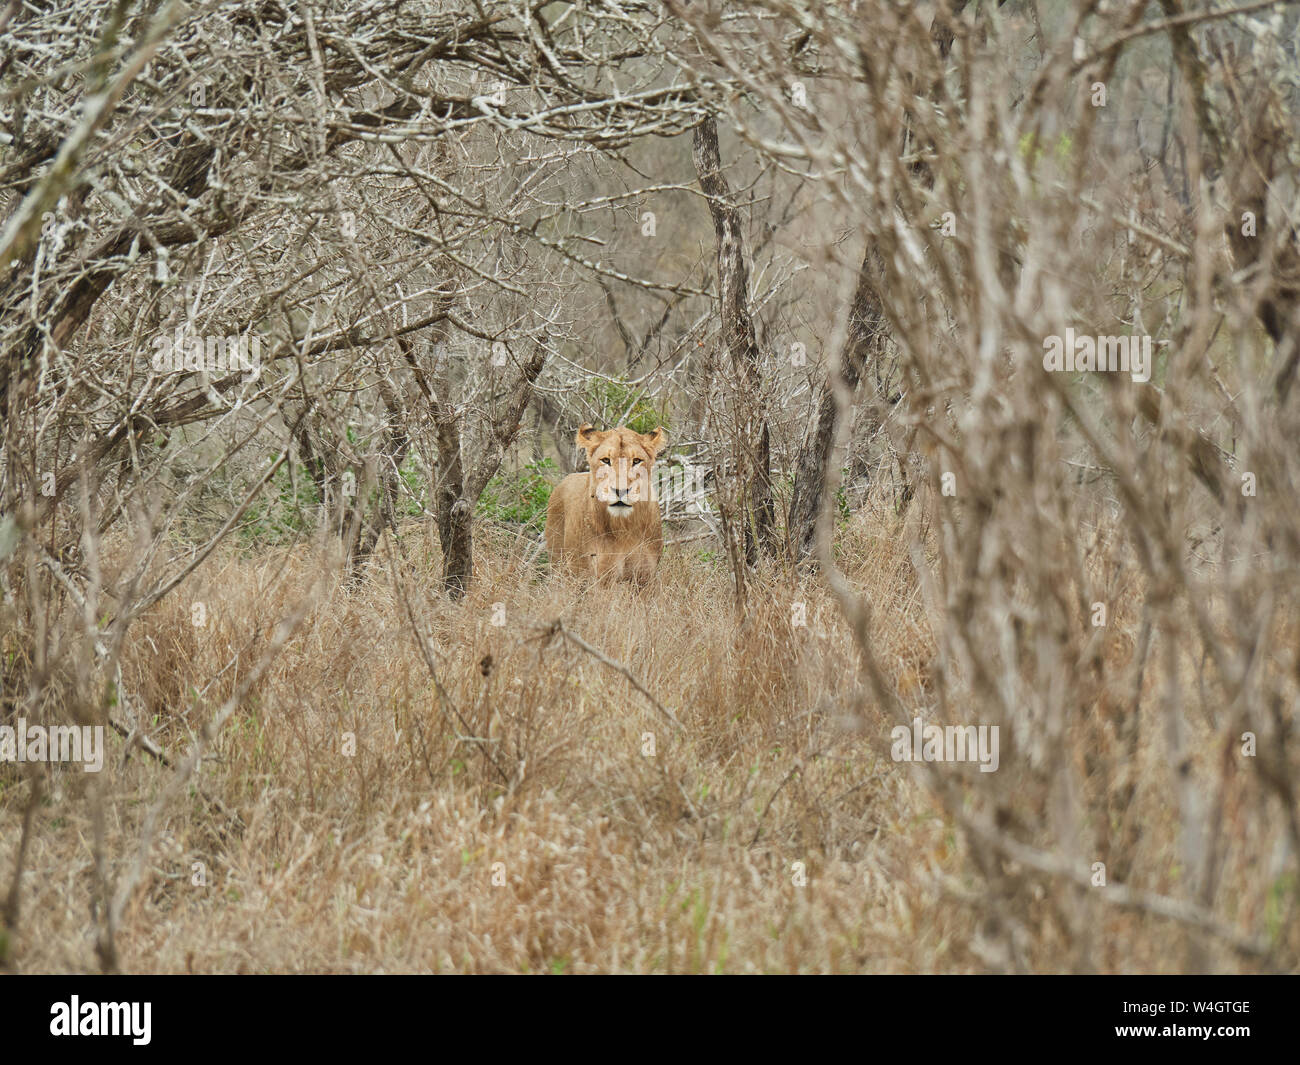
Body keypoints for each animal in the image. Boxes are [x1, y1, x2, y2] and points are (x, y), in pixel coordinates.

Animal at [545, 423, 666, 585]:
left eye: (636, 461)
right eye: (606, 460)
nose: (621, 491)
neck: (624, 528)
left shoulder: (645, 577)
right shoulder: (603, 578)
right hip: (562, 566)